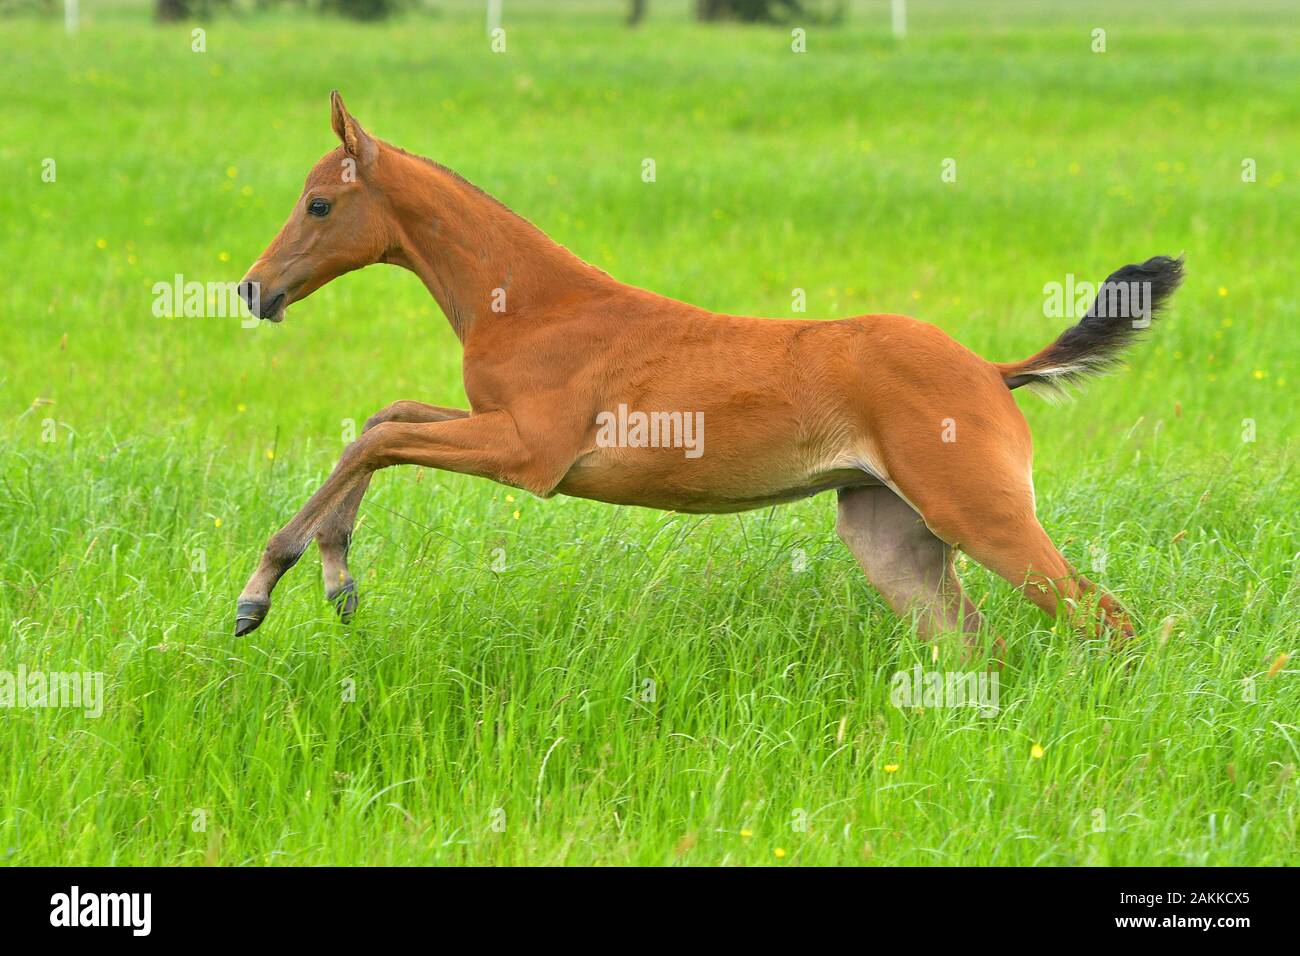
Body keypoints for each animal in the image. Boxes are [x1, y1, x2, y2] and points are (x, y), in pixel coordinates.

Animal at [233, 92, 1183, 655]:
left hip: (984, 515)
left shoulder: (529, 455)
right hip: (890, 537)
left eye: (320, 202)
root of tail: (990, 370)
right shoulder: (496, 430)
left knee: (1106, 619)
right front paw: (324, 582)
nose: (253, 288)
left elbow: (382, 436)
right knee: (974, 644)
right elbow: (384, 419)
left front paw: (273, 586)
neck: (535, 304)